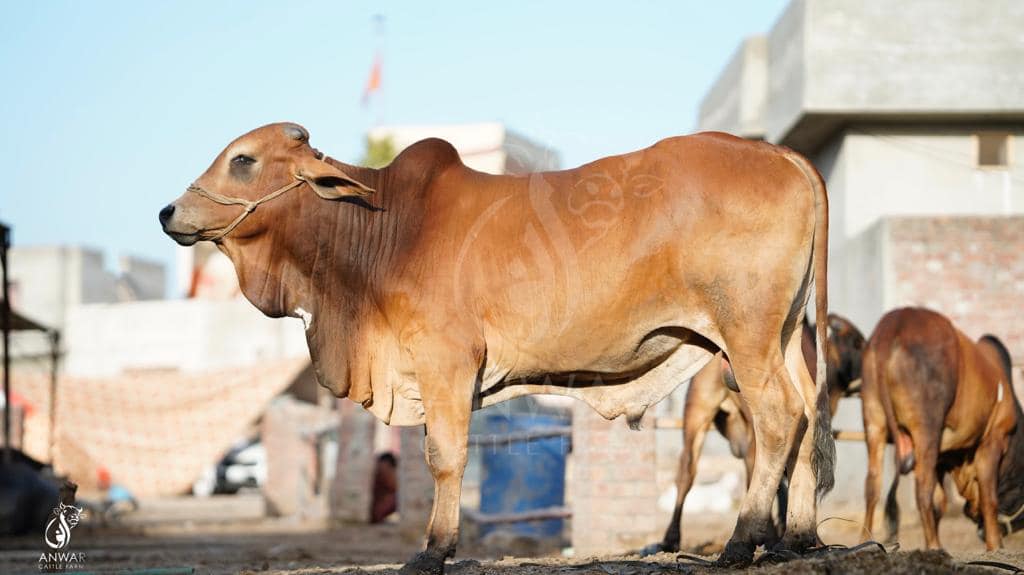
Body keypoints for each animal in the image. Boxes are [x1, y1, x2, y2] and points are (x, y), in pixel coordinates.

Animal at [159, 122, 832, 573]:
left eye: (243, 160)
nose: (169, 211)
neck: (383, 231)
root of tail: (784, 155)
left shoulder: (446, 363)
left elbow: (444, 457)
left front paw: (434, 550)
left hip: (745, 335)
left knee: (779, 417)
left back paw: (743, 541)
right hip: (785, 335)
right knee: (808, 411)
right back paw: (797, 539)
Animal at [861, 307, 1024, 550]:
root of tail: (895, 324)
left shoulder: (941, 457)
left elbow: (940, 502)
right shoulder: (993, 439)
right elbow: (990, 498)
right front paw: (995, 546)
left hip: (874, 422)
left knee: (873, 485)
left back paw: (864, 542)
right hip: (926, 429)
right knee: (922, 489)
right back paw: (934, 548)